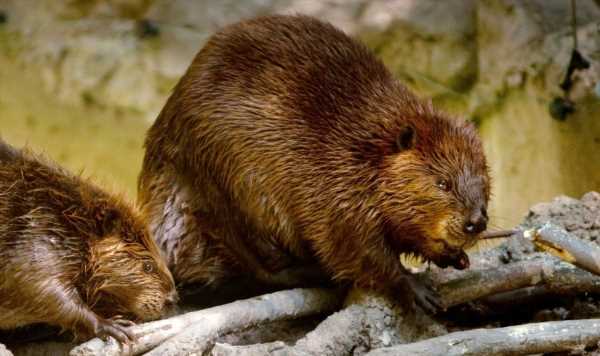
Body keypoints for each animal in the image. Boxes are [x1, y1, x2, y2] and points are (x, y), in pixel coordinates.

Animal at [138, 14, 490, 312]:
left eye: (484, 182)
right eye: (443, 183)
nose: (476, 222)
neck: (366, 143)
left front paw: (454, 257)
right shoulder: (333, 183)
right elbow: (352, 245)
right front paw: (416, 289)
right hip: (226, 185)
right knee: (261, 266)